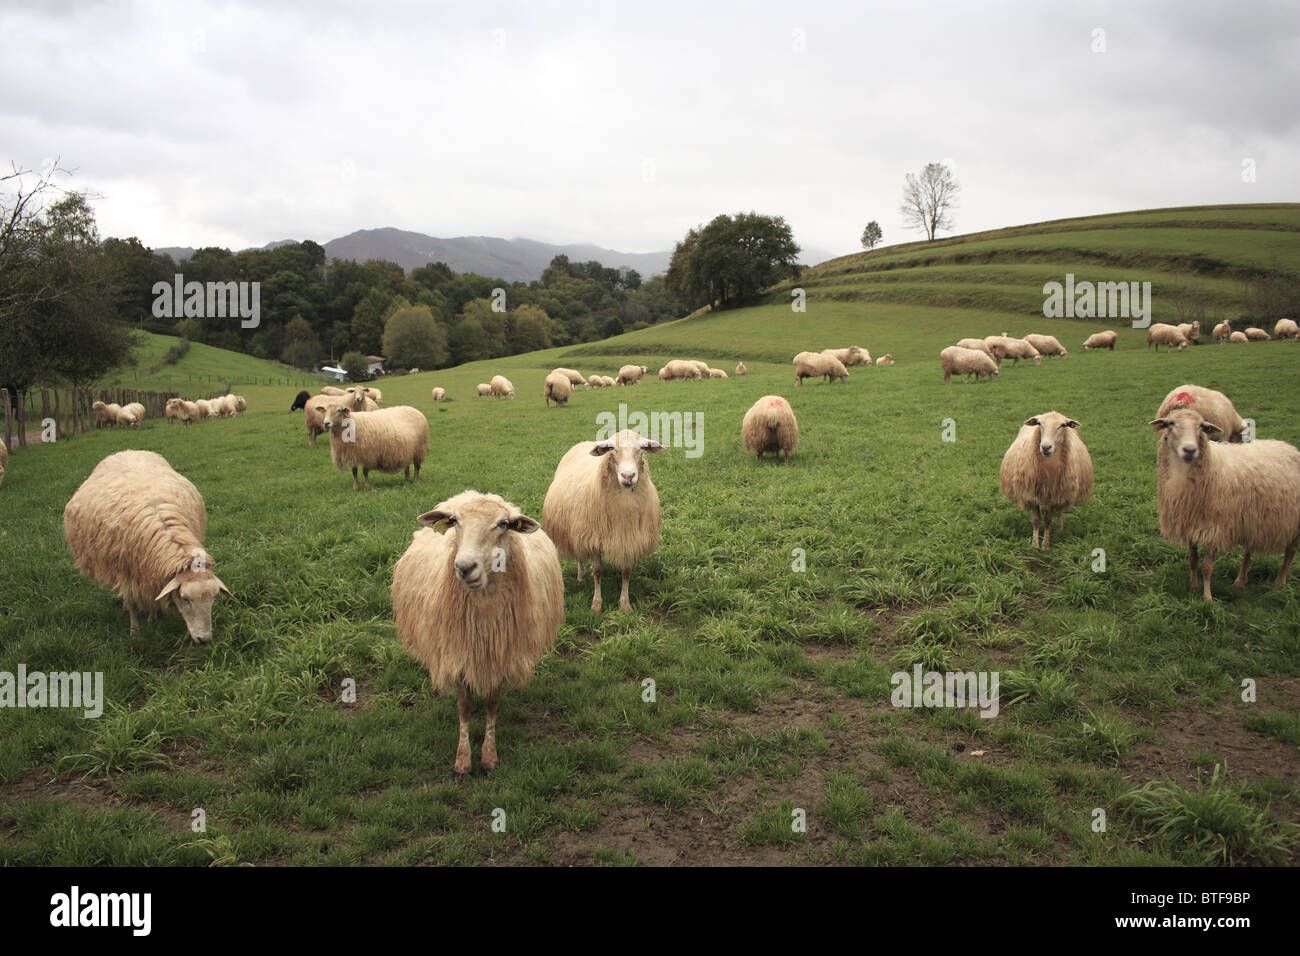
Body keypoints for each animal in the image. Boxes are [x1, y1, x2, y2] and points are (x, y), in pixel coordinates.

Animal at [63, 450, 231, 642]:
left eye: (214, 598)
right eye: (185, 598)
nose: (204, 640)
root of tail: (128, 450)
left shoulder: (150, 571)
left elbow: (153, 595)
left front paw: (152, 617)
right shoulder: (127, 571)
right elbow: (132, 601)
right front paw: (134, 630)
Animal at [391, 490, 563, 778]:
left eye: (503, 524)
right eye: (454, 522)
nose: (464, 567)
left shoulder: (500, 655)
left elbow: (492, 703)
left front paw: (489, 757)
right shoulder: (459, 653)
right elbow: (464, 706)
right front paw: (462, 760)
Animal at [542, 428, 663, 612]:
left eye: (641, 449)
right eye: (612, 449)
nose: (628, 476)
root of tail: (583, 443)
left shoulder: (629, 538)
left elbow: (626, 571)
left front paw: (625, 604)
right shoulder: (593, 538)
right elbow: (598, 571)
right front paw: (597, 604)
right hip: (576, 529)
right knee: (579, 554)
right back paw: (580, 577)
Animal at [999, 411, 1093, 549]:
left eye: (1063, 425)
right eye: (1039, 423)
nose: (1045, 447)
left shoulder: (1054, 496)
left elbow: (1048, 520)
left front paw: (1045, 545)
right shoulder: (1031, 494)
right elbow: (1036, 520)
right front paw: (1034, 545)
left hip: (1063, 492)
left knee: (1060, 511)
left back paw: (1060, 529)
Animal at [1149, 407, 1300, 600]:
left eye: (1202, 426)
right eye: (1171, 423)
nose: (1190, 450)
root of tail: (1289, 447)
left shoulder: (1215, 527)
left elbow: (1207, 567)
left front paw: (1207, 598)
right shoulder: (1190, 523)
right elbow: (1193, 561)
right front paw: (1193, 588)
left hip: (1293, 520)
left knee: (1290, 551)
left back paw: (1280, 581)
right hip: (1253, 517)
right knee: (1248, 550)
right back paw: (1240, 581)